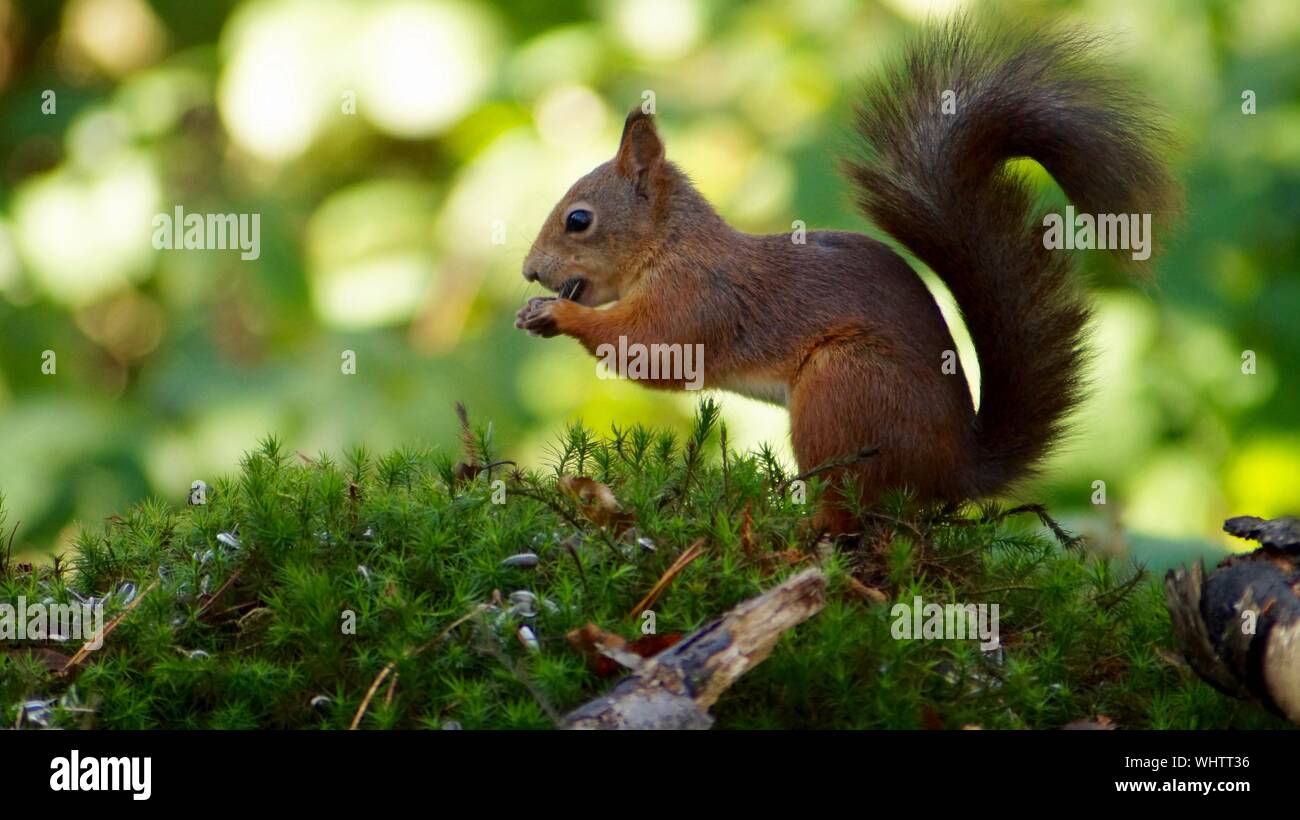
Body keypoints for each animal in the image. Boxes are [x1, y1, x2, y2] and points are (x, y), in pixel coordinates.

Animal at [515, 18, 1178, 533]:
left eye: (579, 220)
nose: (528, 271)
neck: (670, 246)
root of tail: (954, 469)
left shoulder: (699, 298)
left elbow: (651, 350)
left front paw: (560, 314)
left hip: (843, 389)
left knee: (849, 509)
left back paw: (799, 530)